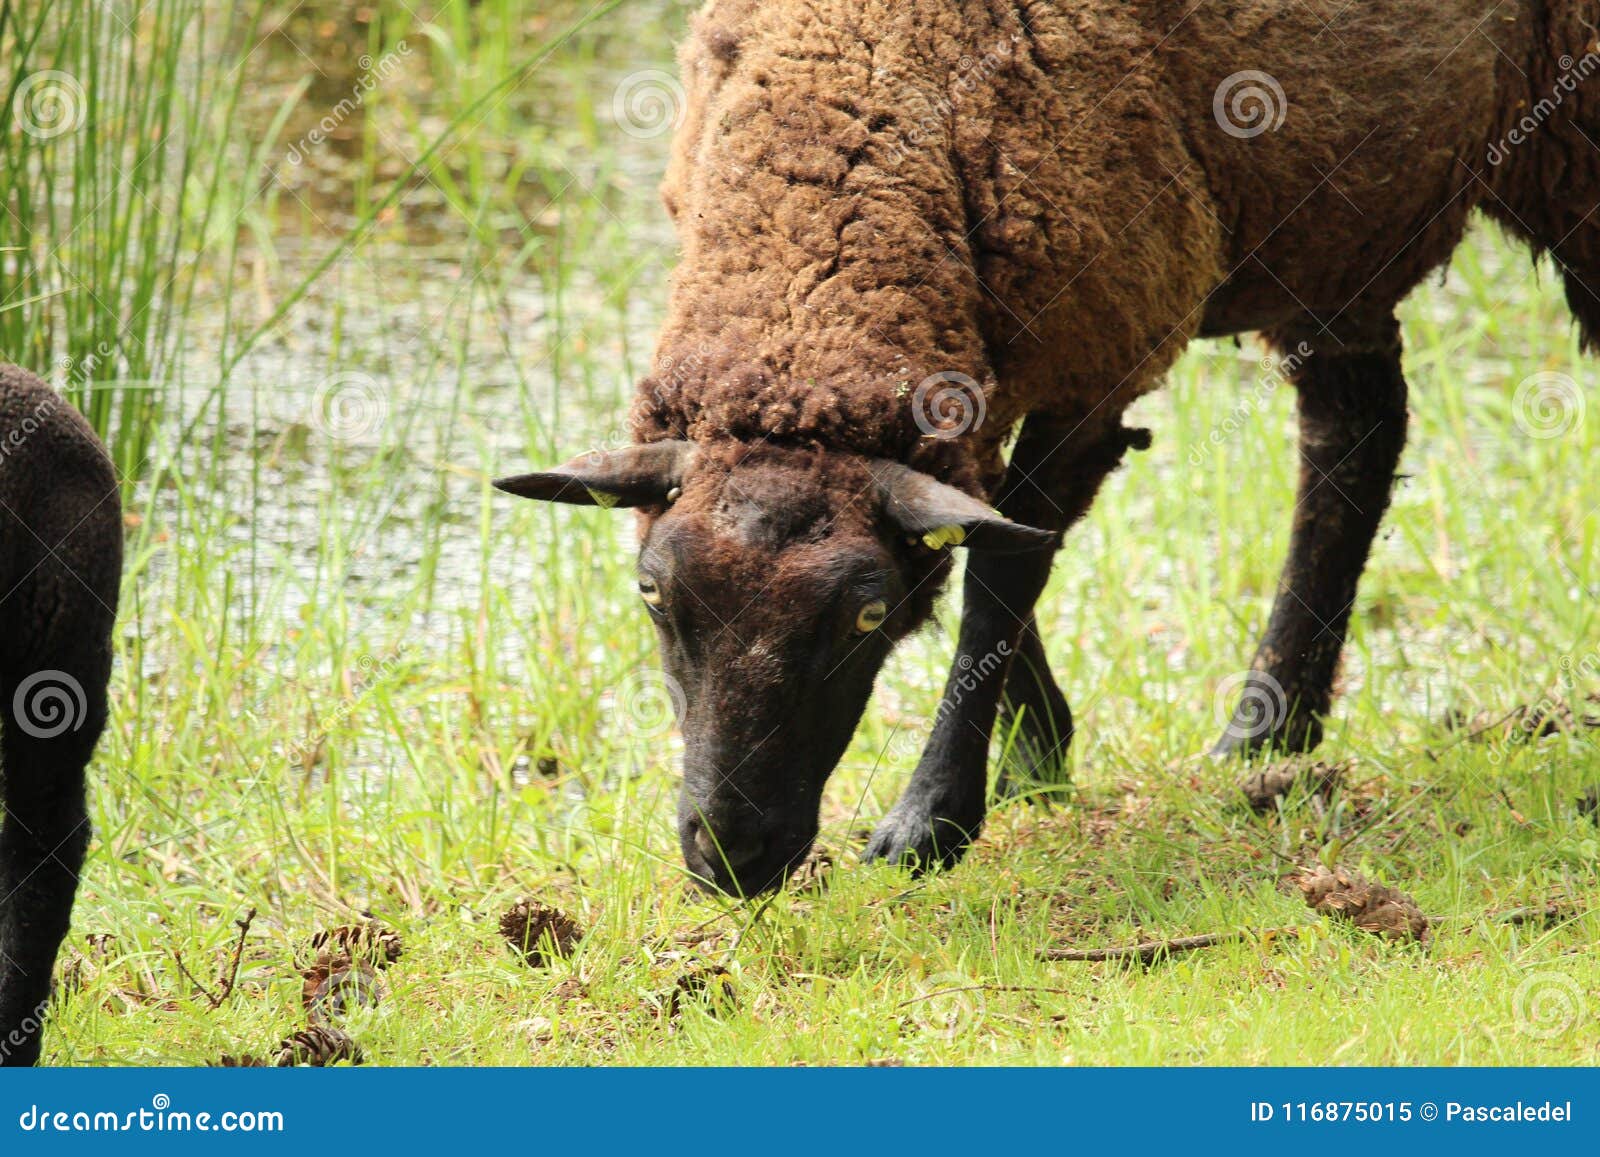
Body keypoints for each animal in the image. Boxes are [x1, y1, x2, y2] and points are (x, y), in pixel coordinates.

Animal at [498, 0, 1600, 894]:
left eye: (863, 615)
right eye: (651, 592)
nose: (729, 857)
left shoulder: (1101, 356)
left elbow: (1002, 570)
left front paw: (931, 820)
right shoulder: (972, 375)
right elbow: (977, 536)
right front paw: (1036, 756)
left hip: (1567, 133)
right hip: (1338, 214)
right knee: (1356, 433)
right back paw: (1268, 733)